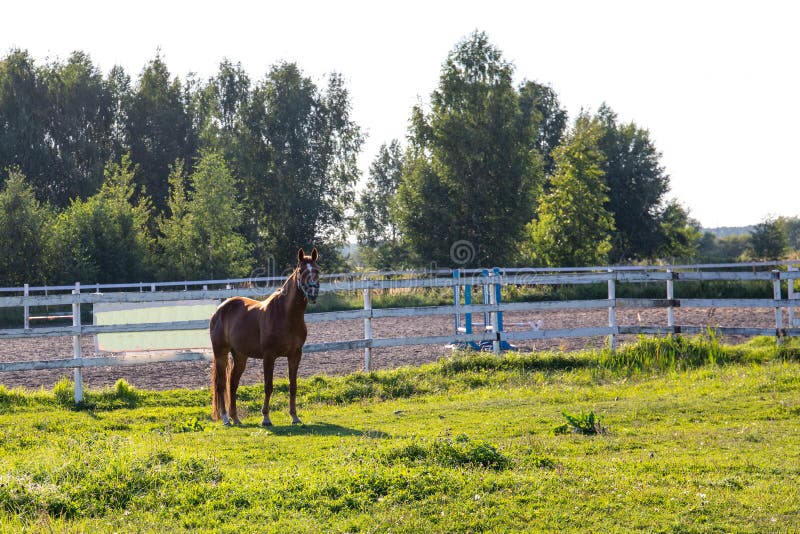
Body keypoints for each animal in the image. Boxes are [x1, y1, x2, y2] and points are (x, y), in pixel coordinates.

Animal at [208, 247, 320, 426]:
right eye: (301, 271)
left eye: (317, 270)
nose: (313, 292)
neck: (286, 315)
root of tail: (219, 309)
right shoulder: (269, 356)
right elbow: (268, 386)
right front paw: (266, 418)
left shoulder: (295, 355)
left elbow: (293, 385)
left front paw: (294, 417)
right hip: (221, 353)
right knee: (221, 385)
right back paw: (226, 418)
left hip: (240, 355)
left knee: (233, 383)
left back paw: (236, 418)